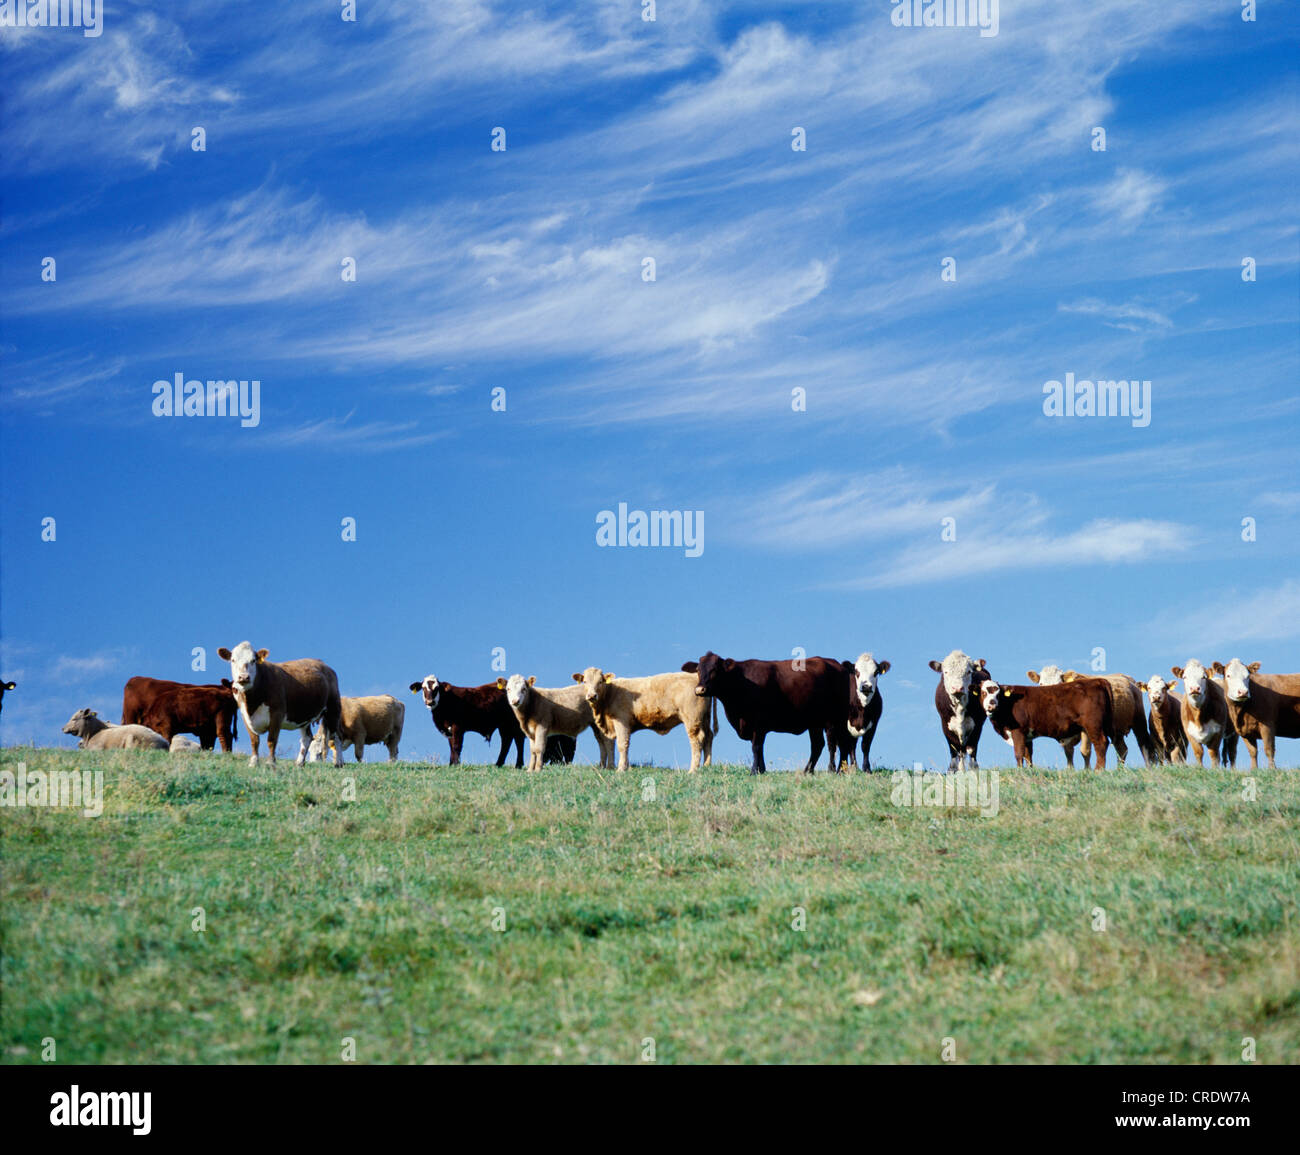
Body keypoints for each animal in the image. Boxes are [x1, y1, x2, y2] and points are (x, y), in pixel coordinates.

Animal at [408, 676, 576, 766]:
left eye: (436, 688)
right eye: (423, 688)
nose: (429, 702)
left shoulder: (457, 728)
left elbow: (456, 747)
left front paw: (455, 764)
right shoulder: (448, 729)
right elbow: (451, 747)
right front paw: (451, 763)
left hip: (513, 725)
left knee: (518, 741)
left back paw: (517, 764)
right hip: (504, 726)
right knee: (507, 742)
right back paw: (499, 763)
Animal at [573, 667, 717, 772]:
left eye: (600, 681)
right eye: (585, 682)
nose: (592, 696)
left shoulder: (622, 721)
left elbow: (622, 744)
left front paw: (621, 769)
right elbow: (613, 744)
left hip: (692, 718)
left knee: (697, 740)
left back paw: (693, 770)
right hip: (704, 718)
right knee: (708, 736)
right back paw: (706, 766)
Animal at [682, 652, 849, 775]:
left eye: (714, 670)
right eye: (698, 670)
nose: (700, 689)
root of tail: (836, 664)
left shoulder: (758, 723)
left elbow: (756, 747)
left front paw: (754, 771)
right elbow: (759, 748)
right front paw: (761, 770)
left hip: (832, 719)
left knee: (833, 744)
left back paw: (833, 770)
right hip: (814, 723)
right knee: (819, 745)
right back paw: (809, 771)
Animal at [980, 679, 1113, 769]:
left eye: (998, 694)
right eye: (983, 693)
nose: (992, 705)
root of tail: (1098, 680)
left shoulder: (1018, 731)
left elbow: (1019, 753)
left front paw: (1019, 770)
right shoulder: (1027, 736)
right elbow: (1028, 755)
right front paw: (1028, 770)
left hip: (1093, 725)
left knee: (1101, 743)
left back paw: (1098, 770)